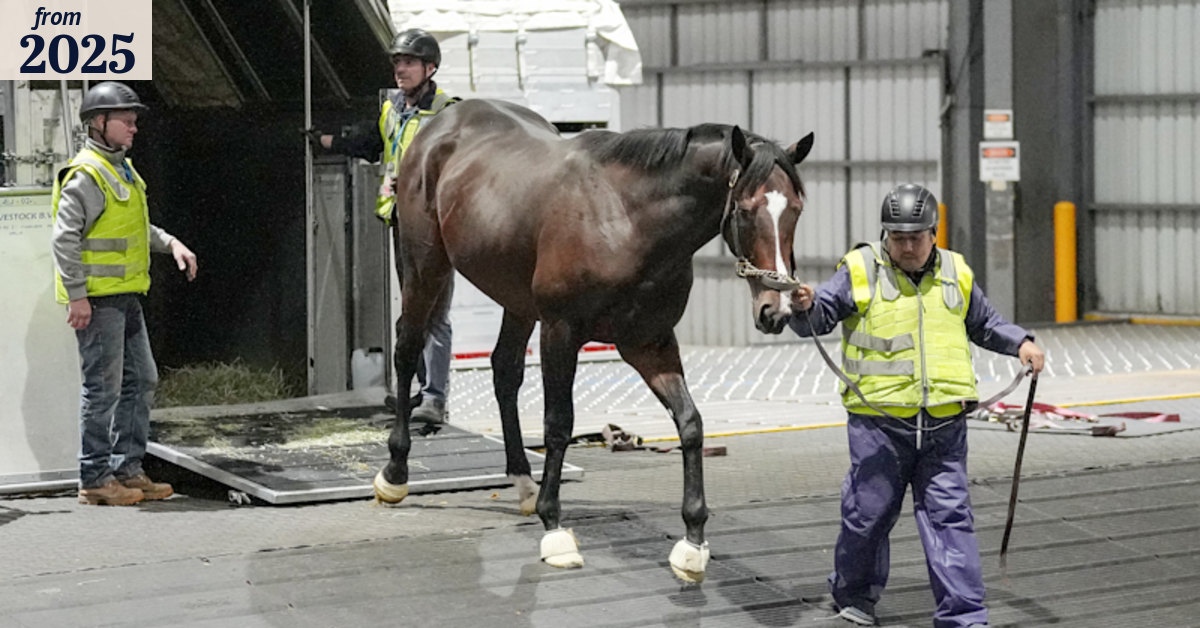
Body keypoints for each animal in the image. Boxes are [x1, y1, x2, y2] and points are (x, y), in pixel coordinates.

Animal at [373, 98, 813, 582]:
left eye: (796, 208)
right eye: (747, 209)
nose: (777, 309)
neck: (627, 218)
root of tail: (442, 122)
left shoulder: (650, 344)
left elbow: (691, 424)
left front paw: (692, 543)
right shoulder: (561, 332)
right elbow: (558, 424)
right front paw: (555, 527)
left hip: (516, 299)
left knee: (505, 371)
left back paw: (523, 482)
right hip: (425, 267)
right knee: (407, 350)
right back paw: (395, 474)